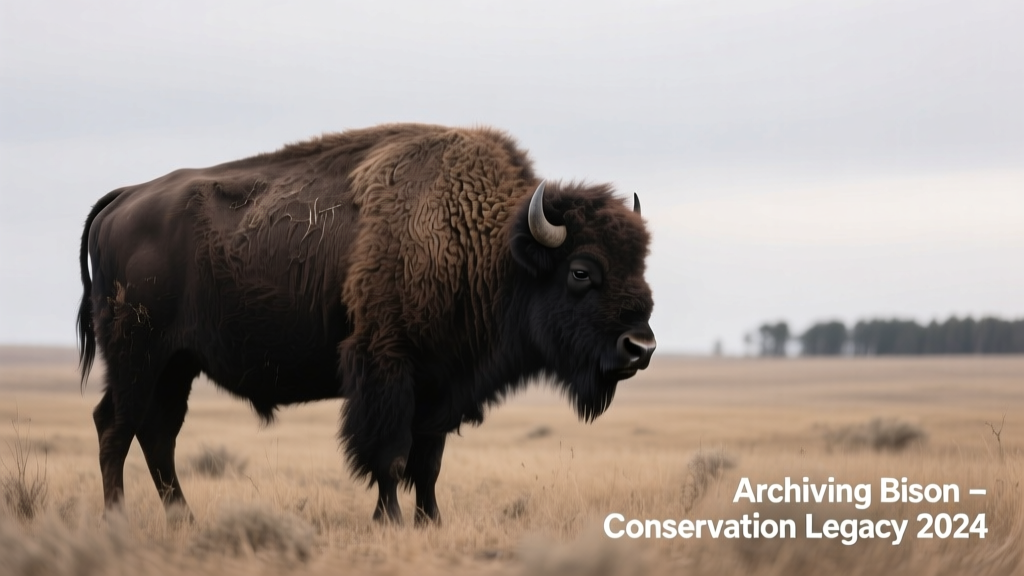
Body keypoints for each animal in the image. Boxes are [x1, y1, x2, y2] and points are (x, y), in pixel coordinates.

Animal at [77, 124, 655, 524]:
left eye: (641, 263)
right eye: (581, 271)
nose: (641, 347)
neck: (486, 246)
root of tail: (124, 198)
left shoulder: (439, 385)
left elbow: (427, 463)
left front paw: (429, 522)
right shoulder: (387, 370)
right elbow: (391, 458)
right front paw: (392, 521)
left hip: (176, 365)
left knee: (156, 433)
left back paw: (184, 520)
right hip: (136, 356)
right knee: (118, 426)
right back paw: (117, 519)